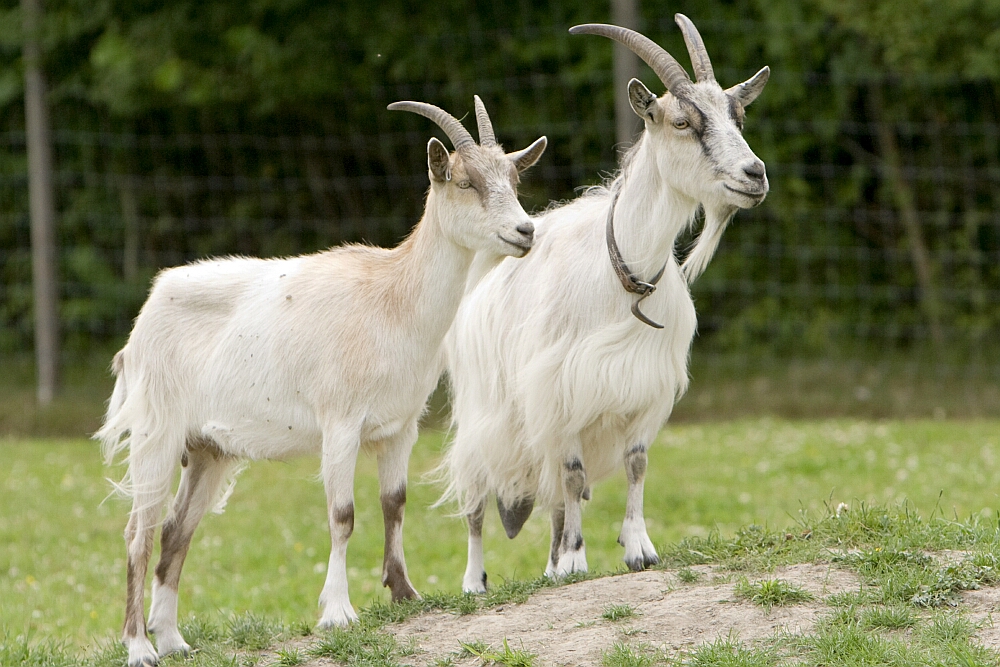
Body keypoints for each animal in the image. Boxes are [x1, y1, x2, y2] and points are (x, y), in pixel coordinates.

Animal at [95, 97, 546, 667]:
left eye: (513, 177)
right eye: (464, 182)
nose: (526, 232)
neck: (392, 300)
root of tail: (146, 316)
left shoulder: (400, 428)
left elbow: (394, 503)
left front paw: (405, 592)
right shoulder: (340, 424)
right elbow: (342, 513)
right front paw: (337, 612)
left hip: (207, 451)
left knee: (177, 531)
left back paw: (174, 640)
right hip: (156, 434)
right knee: (139, 532)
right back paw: (139, 647)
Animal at [441, 16, 769, 593]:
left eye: (740, 115)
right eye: (682, 121)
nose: (755, 175)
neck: (624, 276)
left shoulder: (644, 384)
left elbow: (635, 465)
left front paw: (637, 548)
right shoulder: (559, 388)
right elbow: (573, 475)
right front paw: (576, 559)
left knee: (550, 493)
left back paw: (550, 565)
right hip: (484, 412)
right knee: (479, 498)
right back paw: (477, 581)